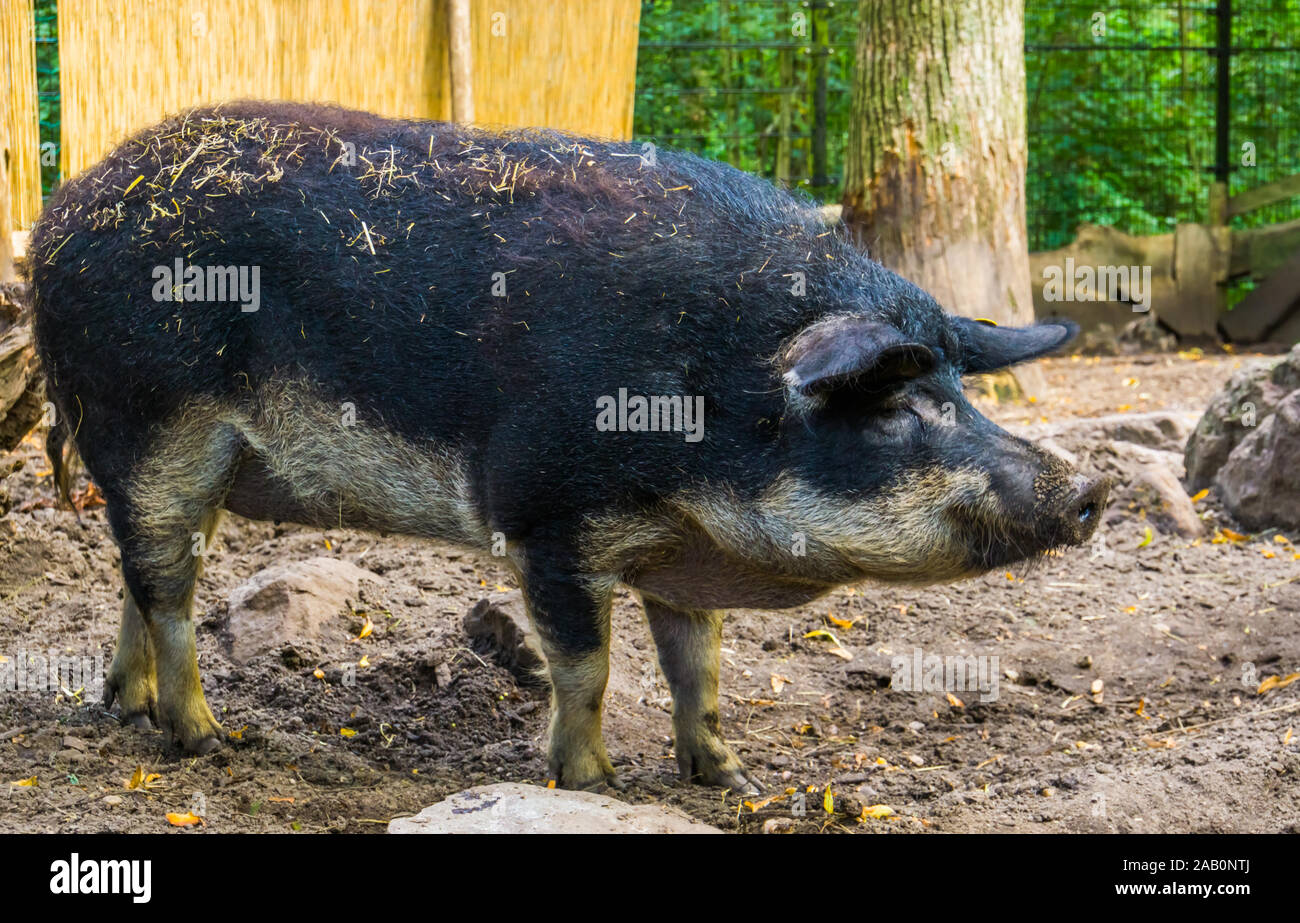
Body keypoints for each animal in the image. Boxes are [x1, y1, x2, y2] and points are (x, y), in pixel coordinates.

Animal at [28, 101, 1107, 793]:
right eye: (891, 409)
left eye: (961, 391)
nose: (1089, 485)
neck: (709, 392)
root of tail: (54, 221)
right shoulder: (542, 516)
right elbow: (586, 665)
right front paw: (598, 780)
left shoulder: (682, 553)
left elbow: (698, 665)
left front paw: (728, 777)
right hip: (150, 426)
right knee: (168, 587)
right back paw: (209, 740)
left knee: (138, 575)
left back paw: (125, 707)